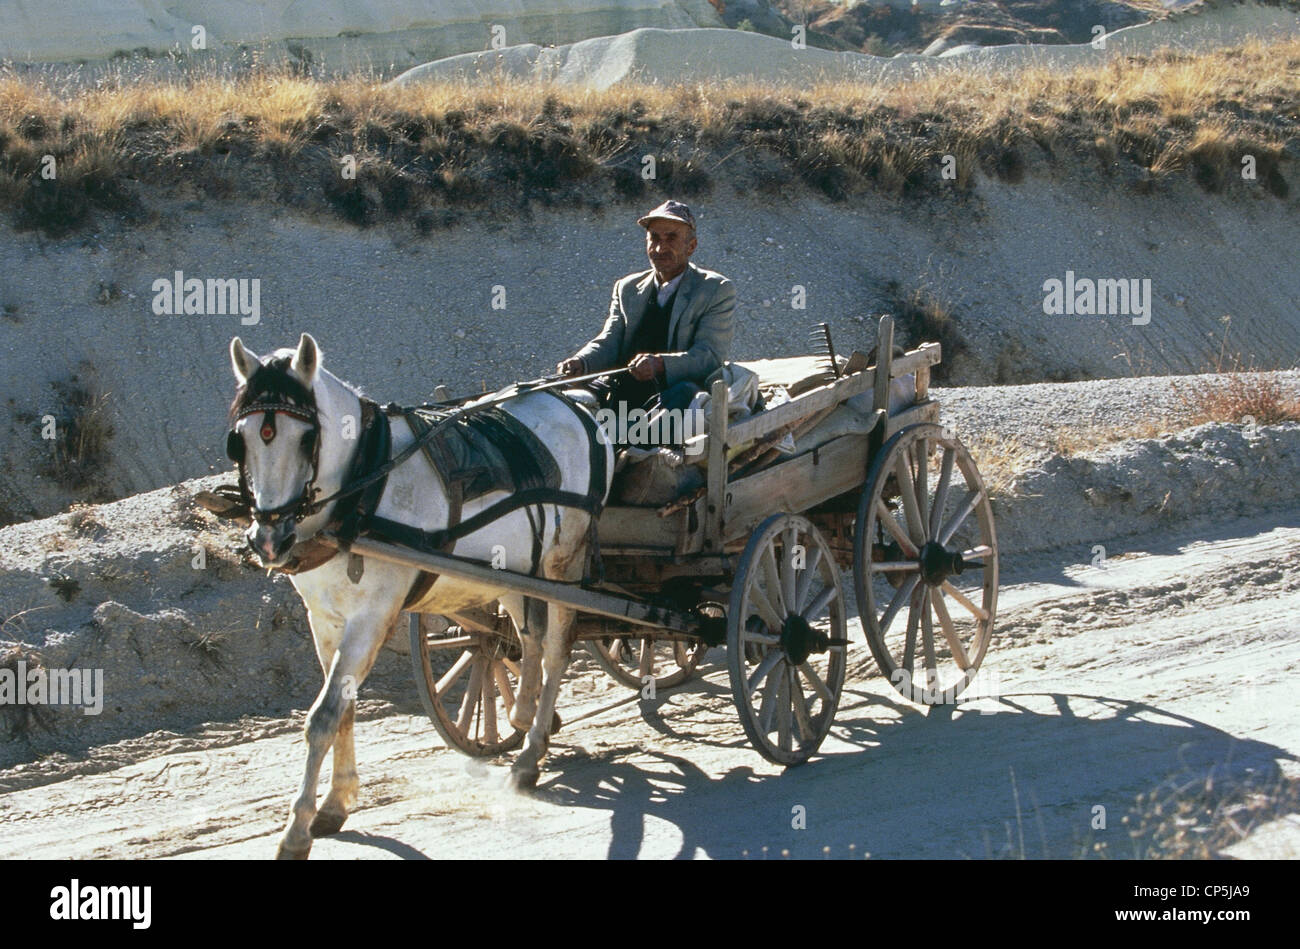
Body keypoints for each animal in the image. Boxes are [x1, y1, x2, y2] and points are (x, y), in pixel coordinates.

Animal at [226, 333, 612, 859]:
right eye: (240, 440)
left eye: (306, 439)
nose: (268, 539)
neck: (365, 483)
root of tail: (575, 405)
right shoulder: (323, 618)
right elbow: (343, 706)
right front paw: (336, 802)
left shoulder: (370, 615)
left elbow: (323, 716)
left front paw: (297, 829)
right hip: (514, 571)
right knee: (527, 641)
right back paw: (527, 715)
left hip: (563, 564)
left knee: (555, 647)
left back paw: (531, 751)